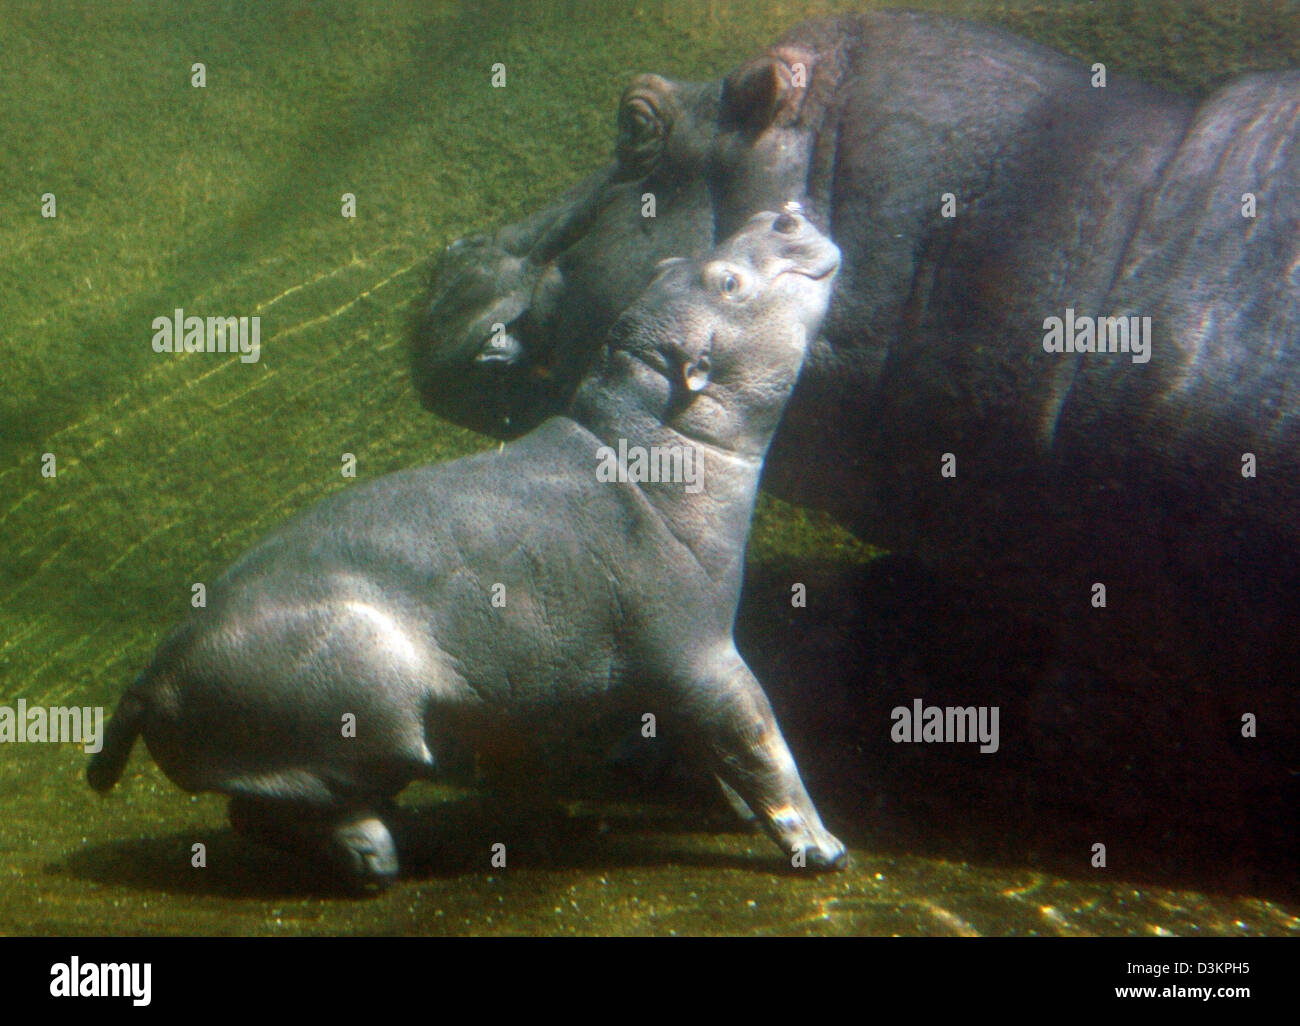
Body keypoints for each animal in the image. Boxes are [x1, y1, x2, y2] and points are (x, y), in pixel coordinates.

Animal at [89, 210, 847, 886]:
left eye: (672, 263)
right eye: (729, 282)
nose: (782, 214)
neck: (652, 442)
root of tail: (151, 673)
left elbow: (711, 749)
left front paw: (737, 813)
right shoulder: (701, 653)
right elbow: (757, 740)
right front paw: (823, 849)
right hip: (373, 713)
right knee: (263, 813)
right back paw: (375, 859)